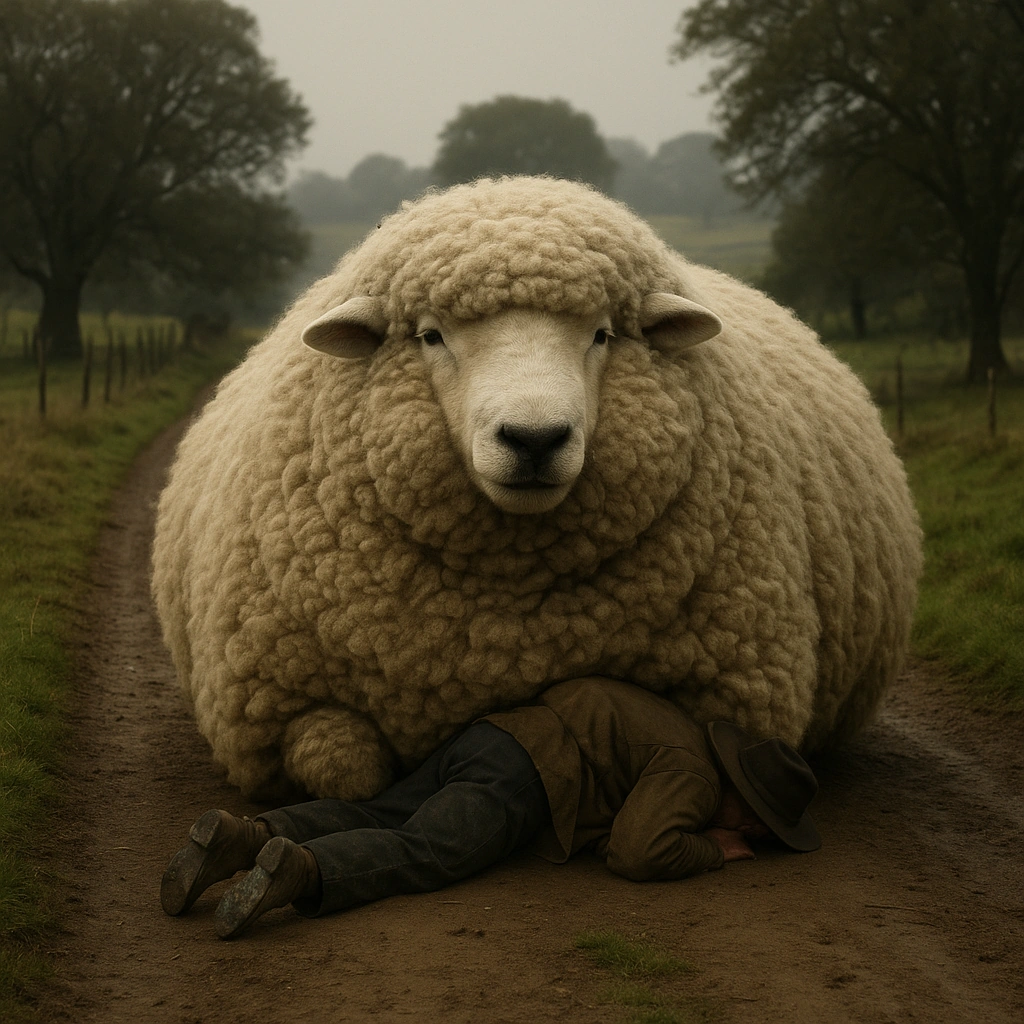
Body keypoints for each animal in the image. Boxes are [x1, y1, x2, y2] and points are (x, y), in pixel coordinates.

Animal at [151, 175, 922, 802]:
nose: (534, 439)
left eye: (603, 335)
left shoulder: (736, 695)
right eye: (431, 336)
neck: (506, 626)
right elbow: (347, 774)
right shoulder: (282, 712)